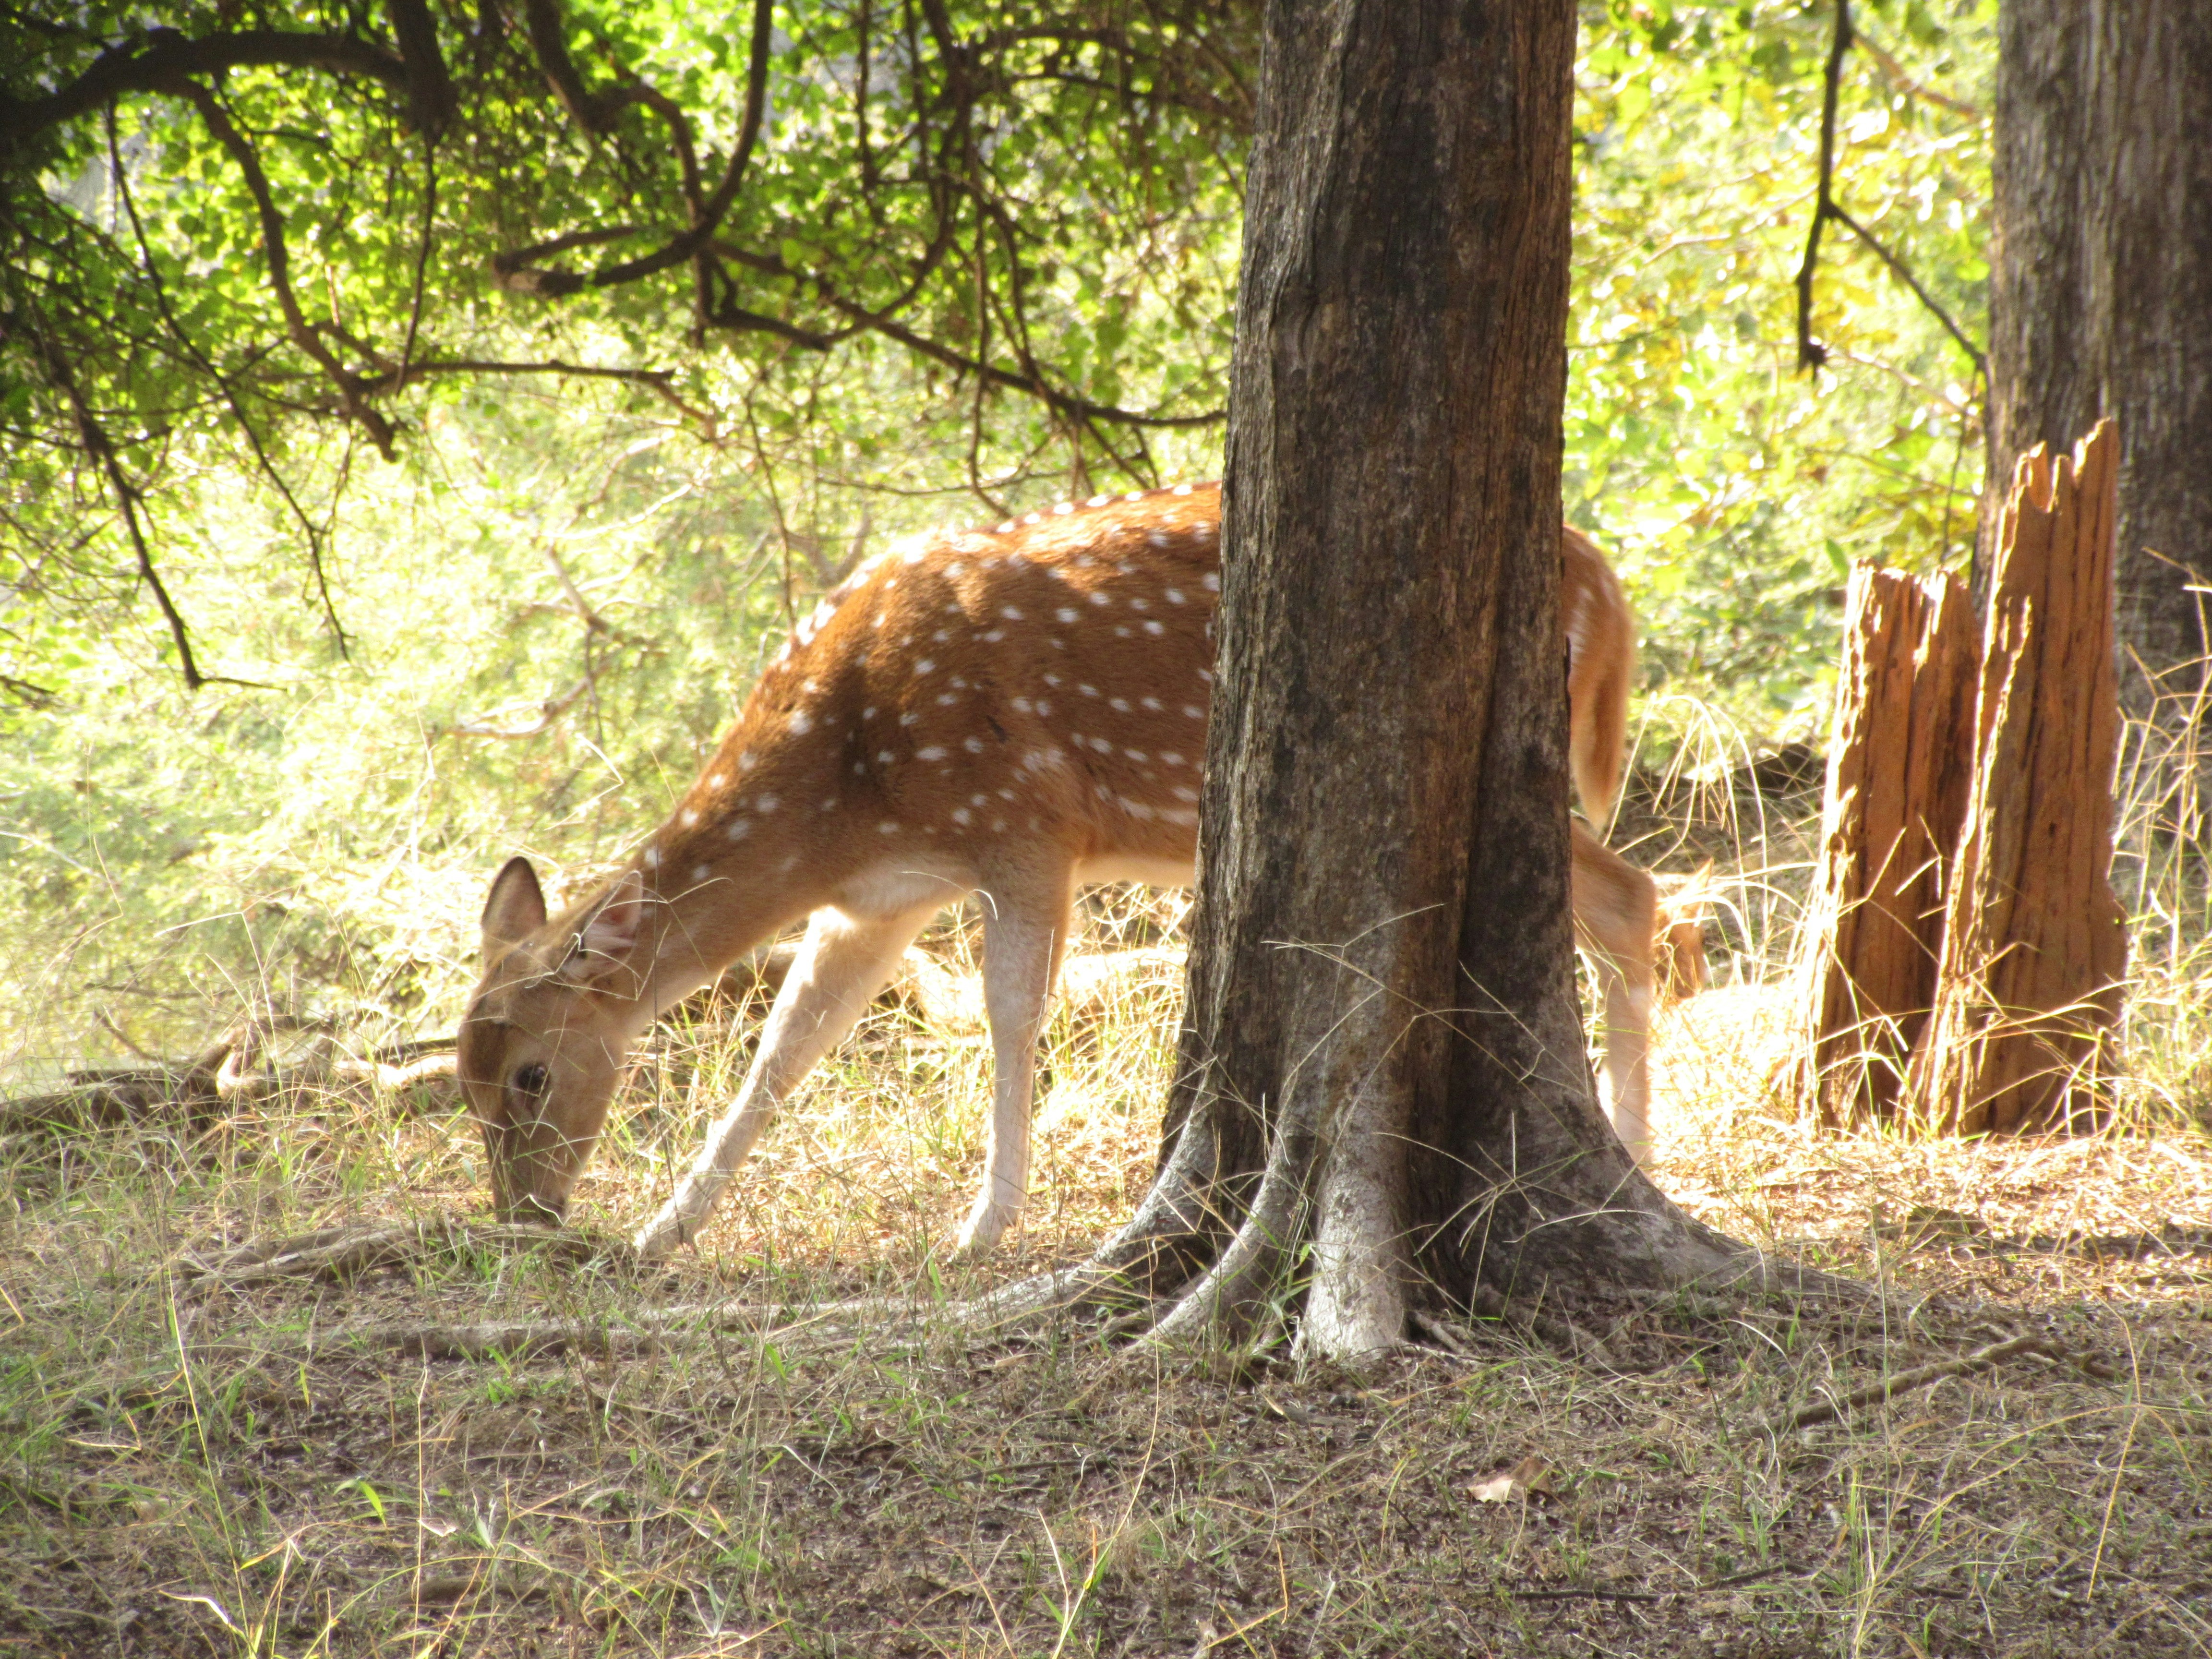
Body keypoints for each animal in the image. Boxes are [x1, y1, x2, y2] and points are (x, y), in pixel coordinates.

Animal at [458, 483, 1666, 1262]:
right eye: (463, 1080)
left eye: (529, 1074)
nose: (522, 1216)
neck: (848, 789)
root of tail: (1611, 588)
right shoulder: (877, 899)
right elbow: (783, 1051)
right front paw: (663, 1229)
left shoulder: (1027, 824)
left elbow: (1008, 1014)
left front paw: (983, 1226)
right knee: (1628, 899)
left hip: (1509, 744)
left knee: (1634, 895)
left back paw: (1639, 1153)